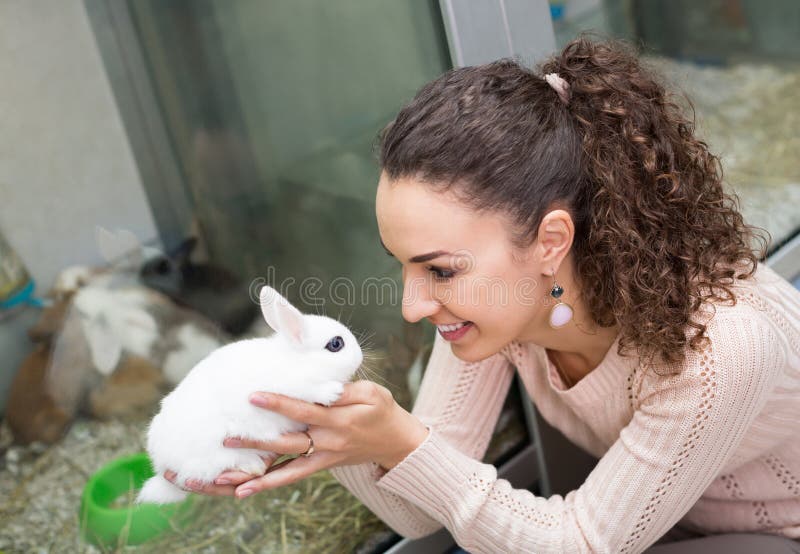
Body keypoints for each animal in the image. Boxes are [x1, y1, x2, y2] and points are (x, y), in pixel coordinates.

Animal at [136, 285, 364, 504]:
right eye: (336, 344)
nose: (360, 356)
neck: (298, 361)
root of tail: (164, 469)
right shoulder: (286, 386)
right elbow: (307, 390)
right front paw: (333, 393)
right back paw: (253, 465)